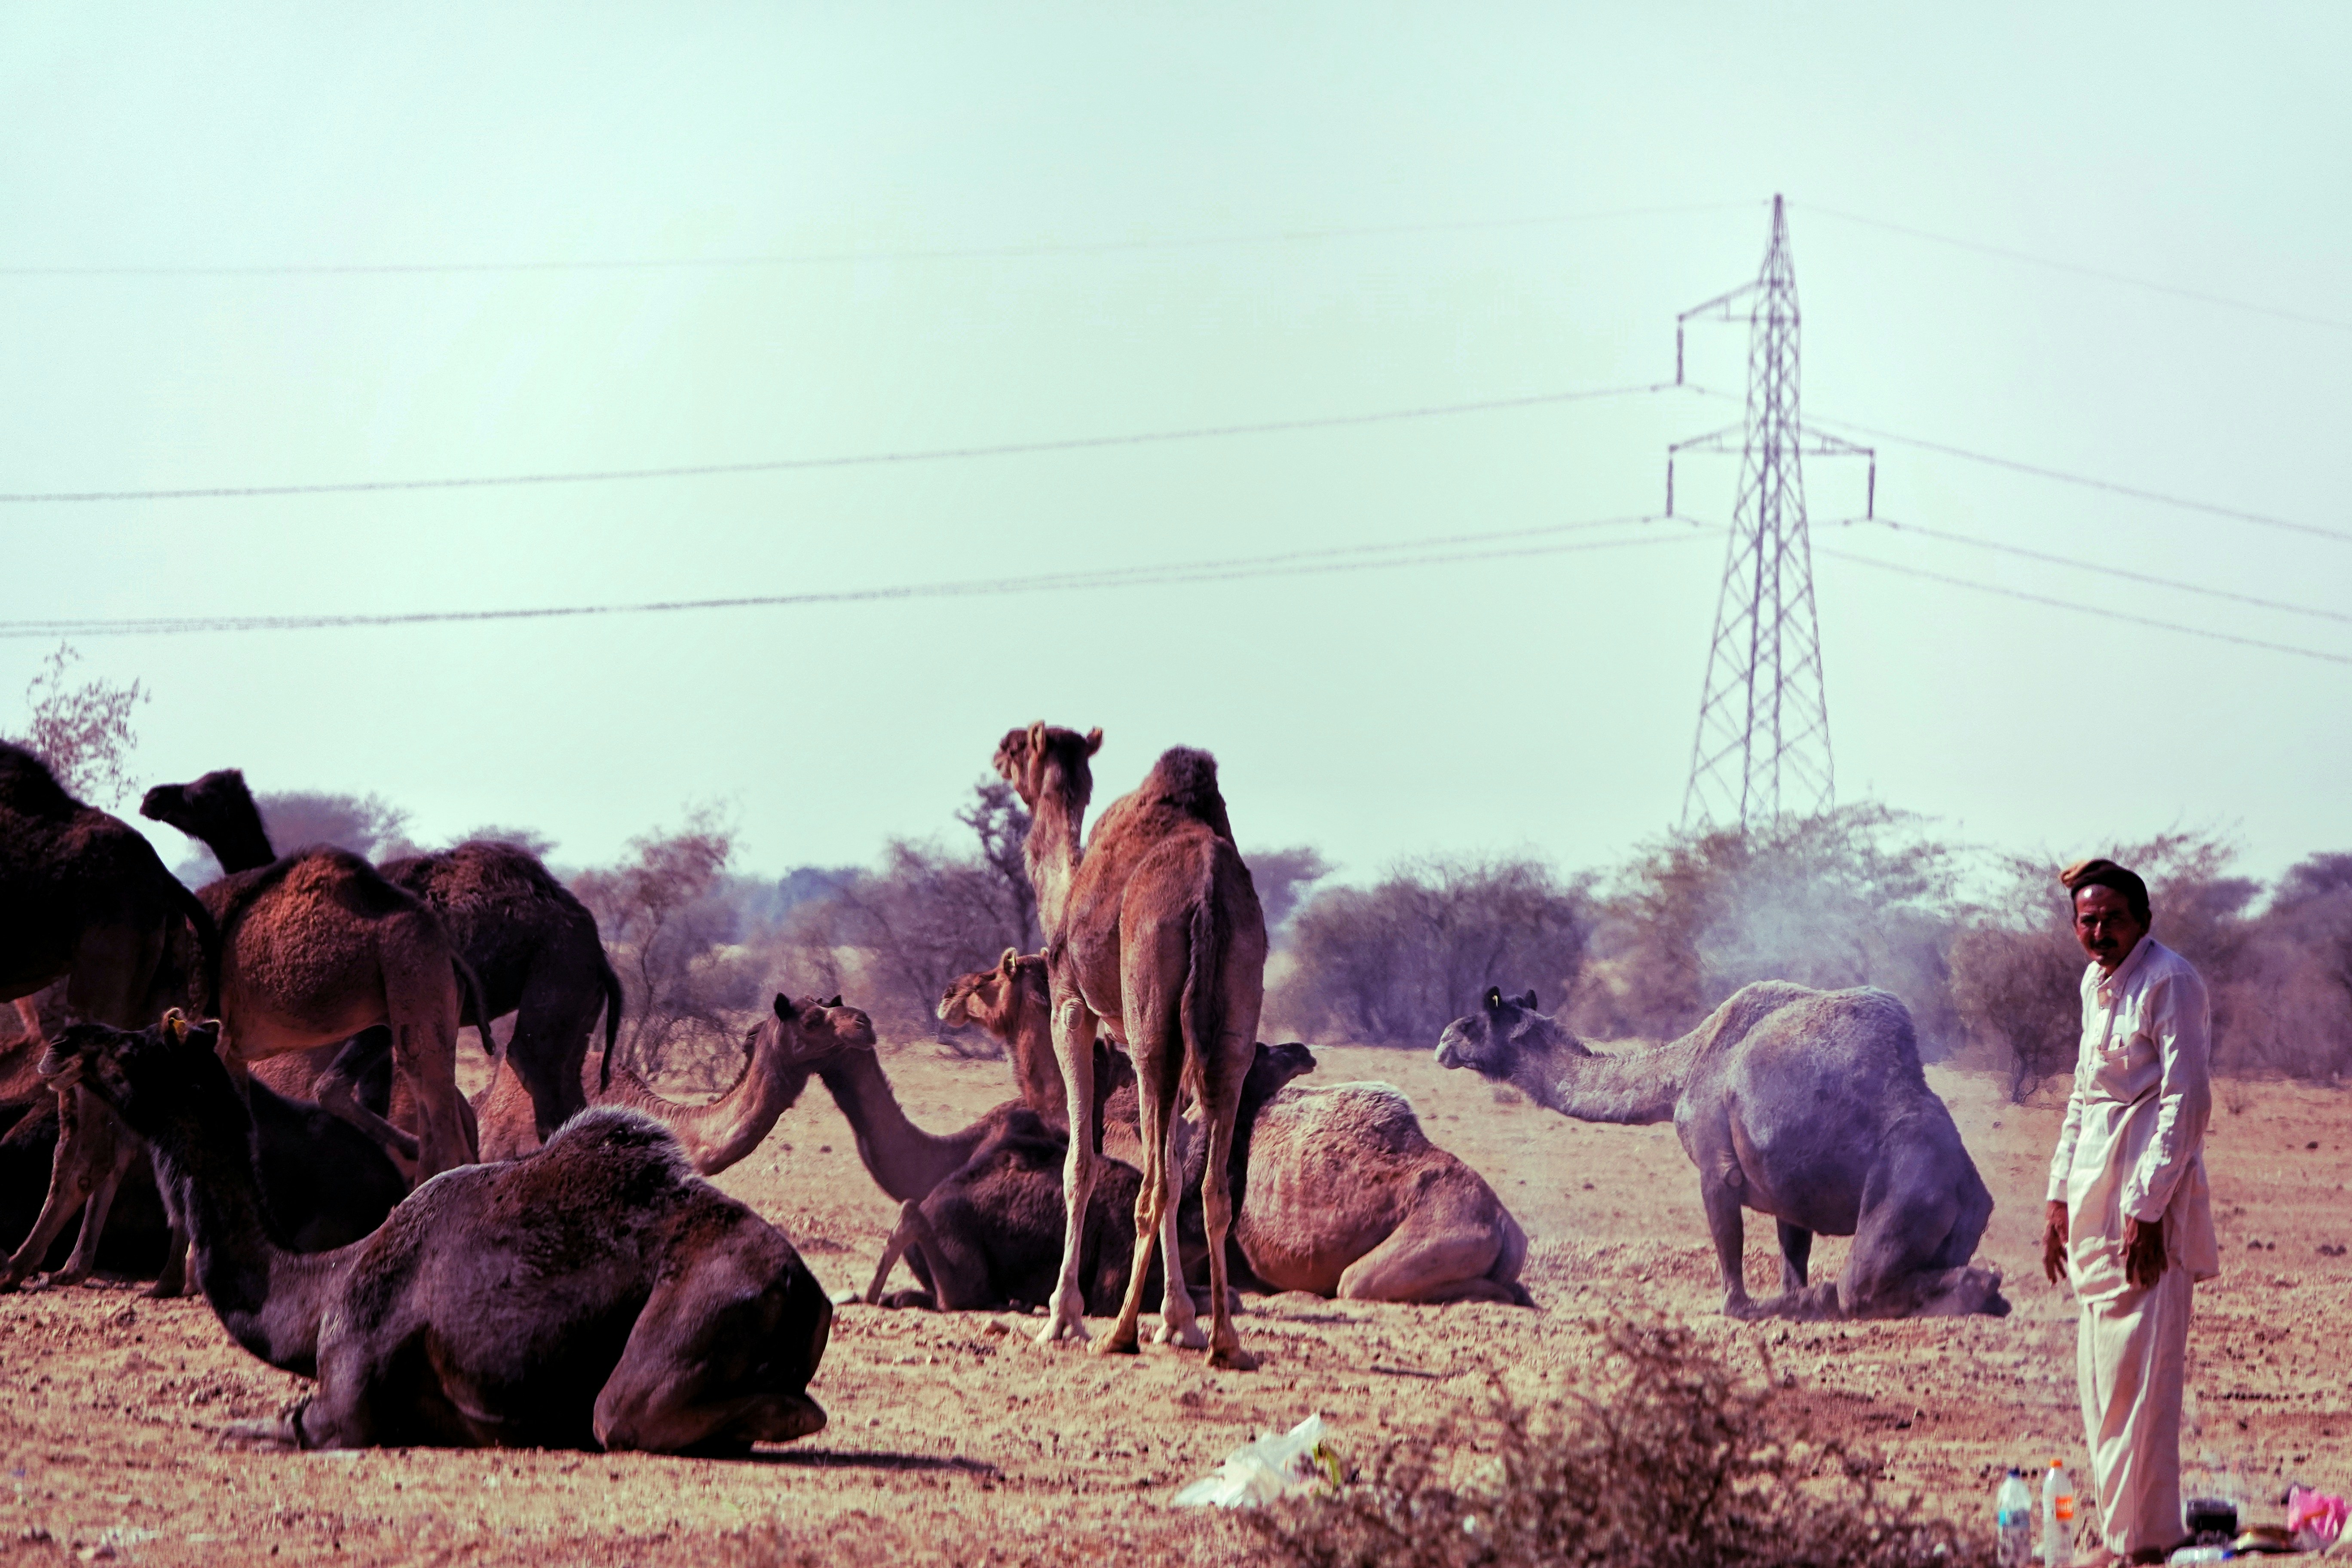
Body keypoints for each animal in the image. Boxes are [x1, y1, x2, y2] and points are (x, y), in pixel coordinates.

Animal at [41, 1013, 835, 1453]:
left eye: (134, 1047)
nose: (62, 1041)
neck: (320, 1289)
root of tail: (805, 1288)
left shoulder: (343, 1405)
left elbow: (271, 1425)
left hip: (684, 1327)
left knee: (624, 1415)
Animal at [994, 724, 1268, 1366]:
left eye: (1019, 749)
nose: (997, 751)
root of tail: (1208, 898)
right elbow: (1173, 1161)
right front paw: (1180, 1322)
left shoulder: (1071, 1006)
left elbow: (1081, 1162)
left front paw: (1062, 1318)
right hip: (1231, 1025)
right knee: (1209, 1184)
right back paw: (1225, 1342)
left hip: (1151, 1025)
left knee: (1156, 1182)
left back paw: (1118, 1333)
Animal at [1435, 983, 2006, 1320]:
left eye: (1473, 1023)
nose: (1442, 1042)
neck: (1685, 1069)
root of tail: (1968, 1185)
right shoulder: (1786, 1186)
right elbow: (1792, 1252)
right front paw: (1794, 1295)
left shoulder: (1717, 1166)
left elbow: (1729, 1252)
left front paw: (1741, 1304)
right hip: (1958, 1214)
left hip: (1908, 1188)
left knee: (1860, 1286)